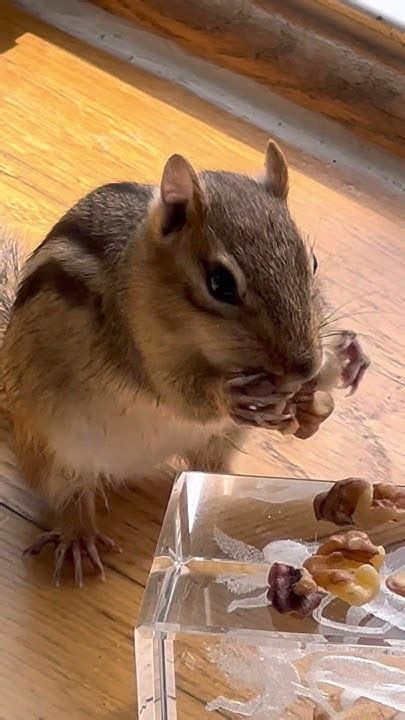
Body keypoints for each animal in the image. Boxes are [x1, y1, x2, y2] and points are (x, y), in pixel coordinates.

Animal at [0, 140, 369, 586]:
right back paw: (78, 538)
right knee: (70, 496)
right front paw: (232, 397)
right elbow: (183, 396)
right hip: (56, 451)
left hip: (217, 446)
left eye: (311, 263)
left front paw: (334, 372)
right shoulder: (138, 349)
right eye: (220, 283)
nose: (304, 369)